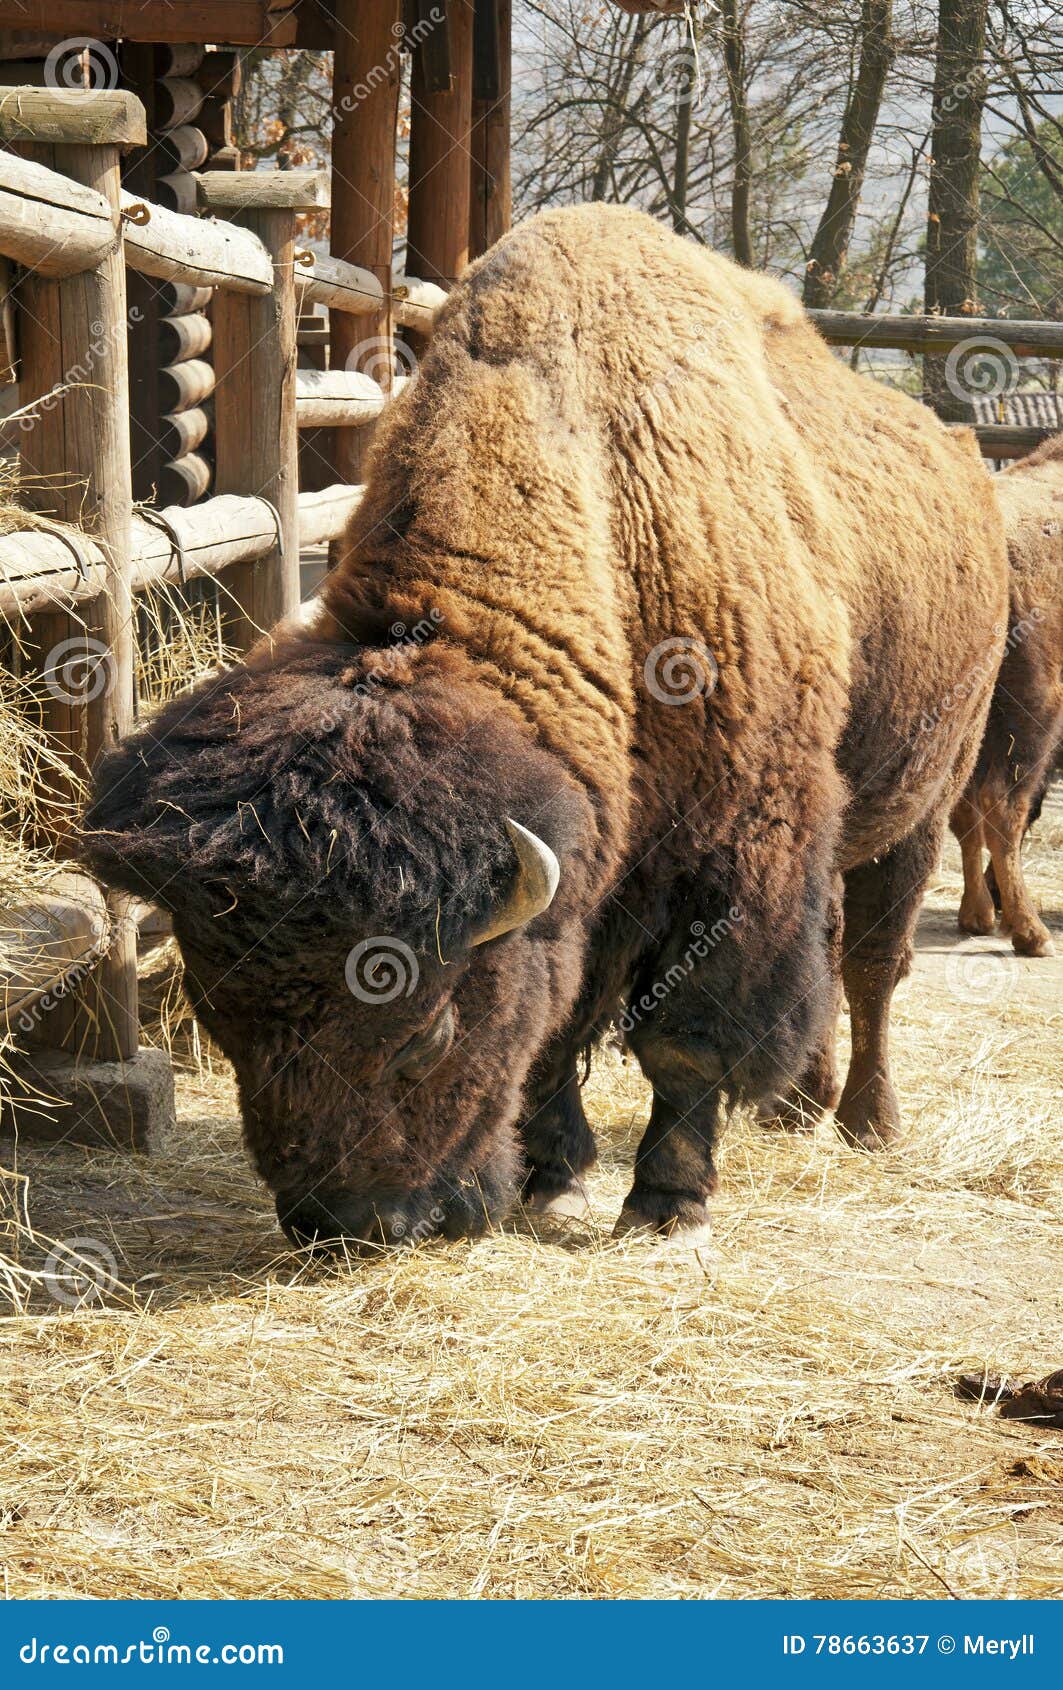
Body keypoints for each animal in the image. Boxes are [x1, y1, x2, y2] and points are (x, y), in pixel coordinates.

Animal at [83, 206, 1008, 1251]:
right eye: (221, 1020)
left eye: (428, 1033)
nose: (346, 1224)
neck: (606, 518)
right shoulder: (593, 881)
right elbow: (560, 1024)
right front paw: (557, 1179)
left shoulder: (734, 851)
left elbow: (683, 1037)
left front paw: (666, 1205)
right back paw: (795, 1107)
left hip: (922, 802)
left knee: (871, 963)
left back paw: (865, 1122)